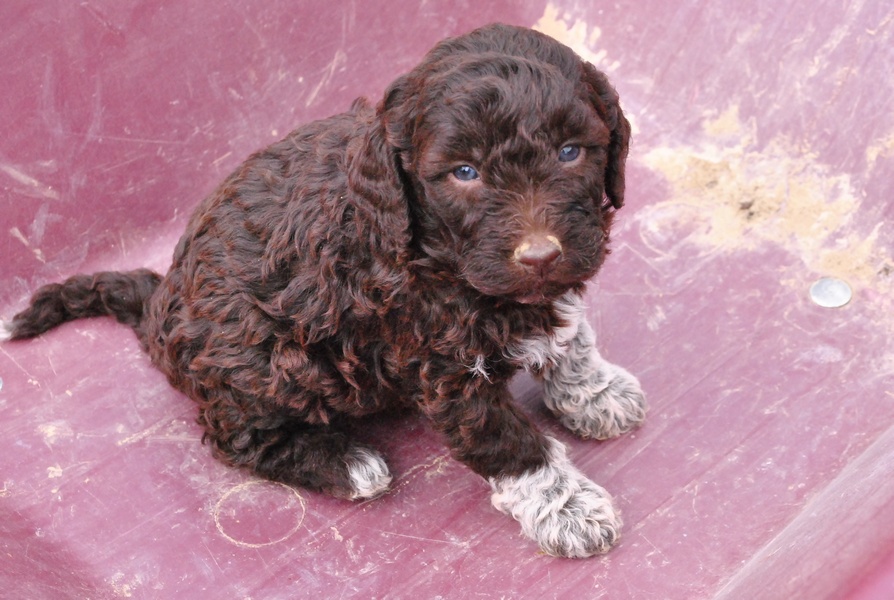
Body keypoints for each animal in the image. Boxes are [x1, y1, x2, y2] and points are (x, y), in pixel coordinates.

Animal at [0, 23, 648, 556]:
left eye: (570, 152)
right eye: (465, 172)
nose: (538, 255)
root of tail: (156, 305)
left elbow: (568, 329)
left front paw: (593, 390)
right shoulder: (441, 364)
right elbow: (506, 441)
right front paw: (569, 509)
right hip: (266, 365)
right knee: (233, 437)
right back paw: (344, 462)